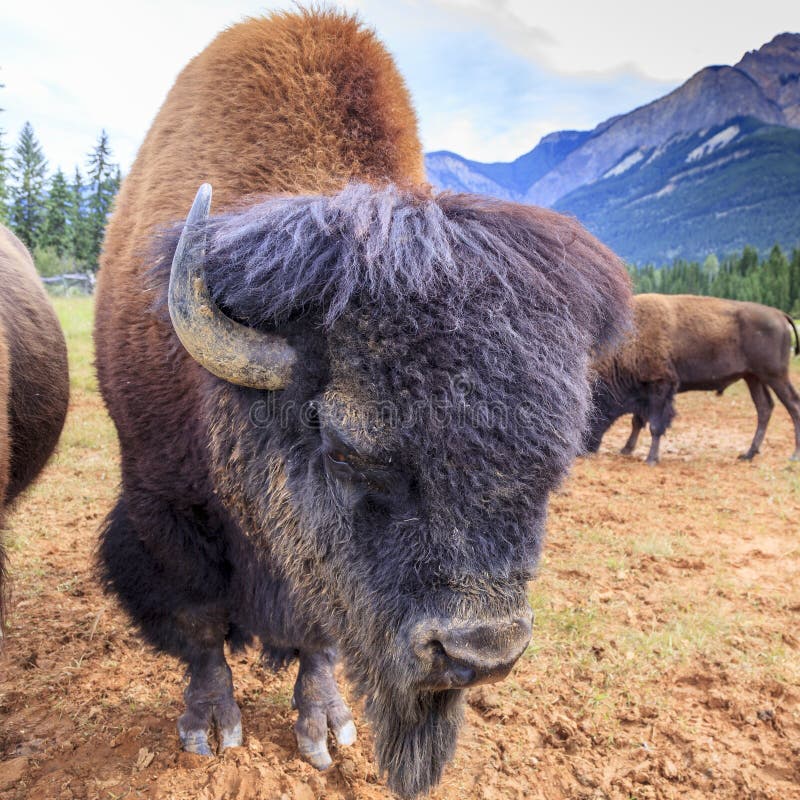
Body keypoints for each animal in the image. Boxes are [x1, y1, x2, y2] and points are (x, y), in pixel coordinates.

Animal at [94, 10, 631, 797]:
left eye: (555, 464)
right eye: (347, 449)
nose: (480, 653)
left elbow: (320, 632)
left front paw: (325, 728)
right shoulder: (163, 504)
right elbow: (198, 621)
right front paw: (209, 729)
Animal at [586, 293, 800, 464]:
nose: (586, 449)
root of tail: (779, 314)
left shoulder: (660, 386)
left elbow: (655, 425)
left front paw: (651, 459)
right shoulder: (645, 390)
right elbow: (637, 421)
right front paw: (626, 449)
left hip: (775, 376)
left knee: (792, 405)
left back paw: (794, 455)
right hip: (753, 377)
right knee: (764, 408)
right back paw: (748, 454)